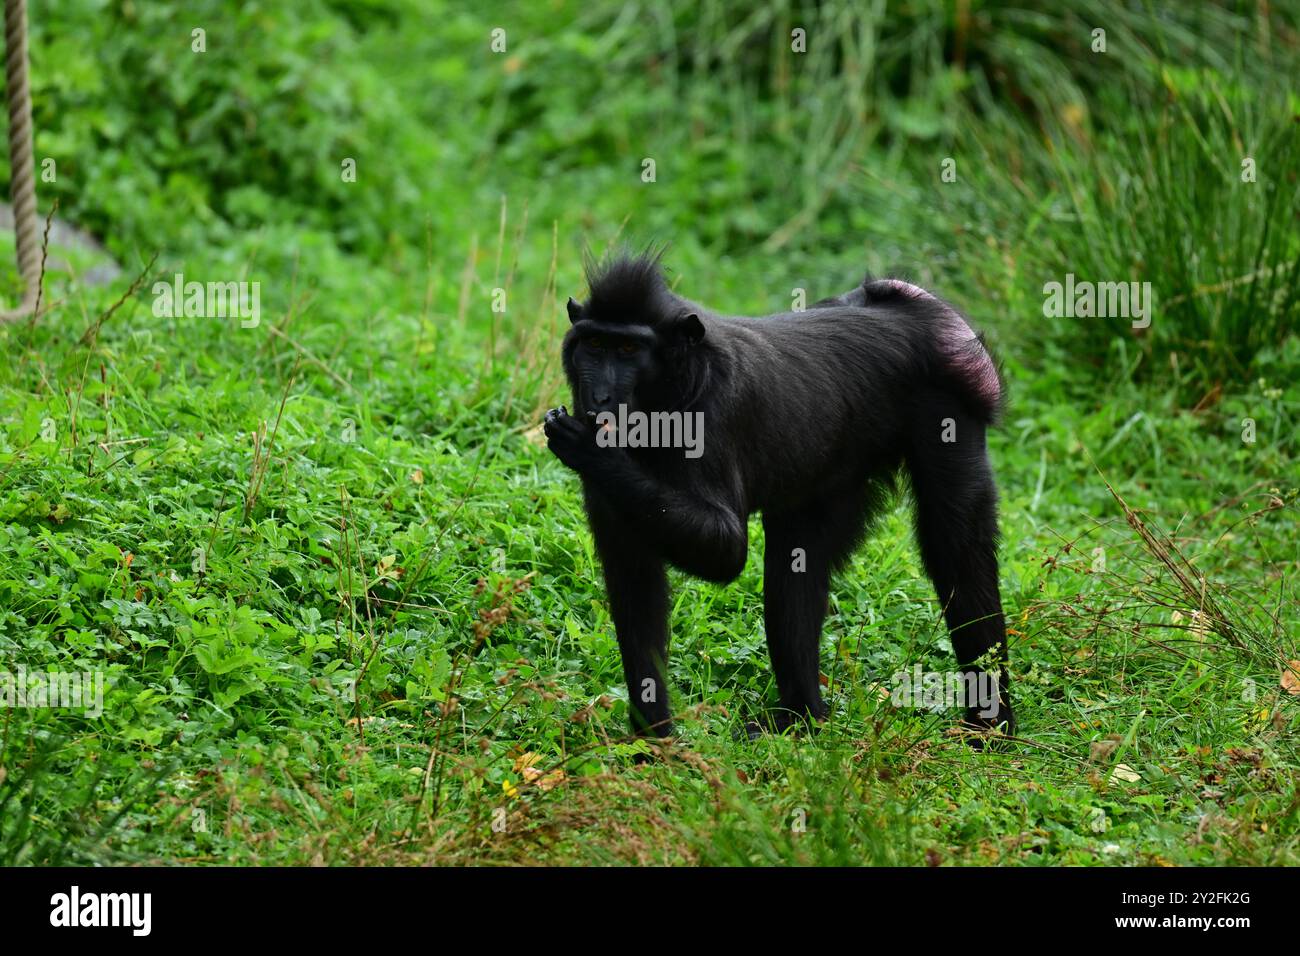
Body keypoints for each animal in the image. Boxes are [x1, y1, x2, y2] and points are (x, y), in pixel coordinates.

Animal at [543, 252, 1013, 740]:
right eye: (594, 344)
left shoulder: (710, 414)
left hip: (948, 412)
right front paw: (651, 741)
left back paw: (992, 727)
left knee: (955, 549)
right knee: (797, 558)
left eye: (628, 351)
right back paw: (801, 716)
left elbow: (726, 550)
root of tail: (910, 312)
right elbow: (633, 575)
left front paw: (591, 447)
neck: (667, 391)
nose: (599, 398)